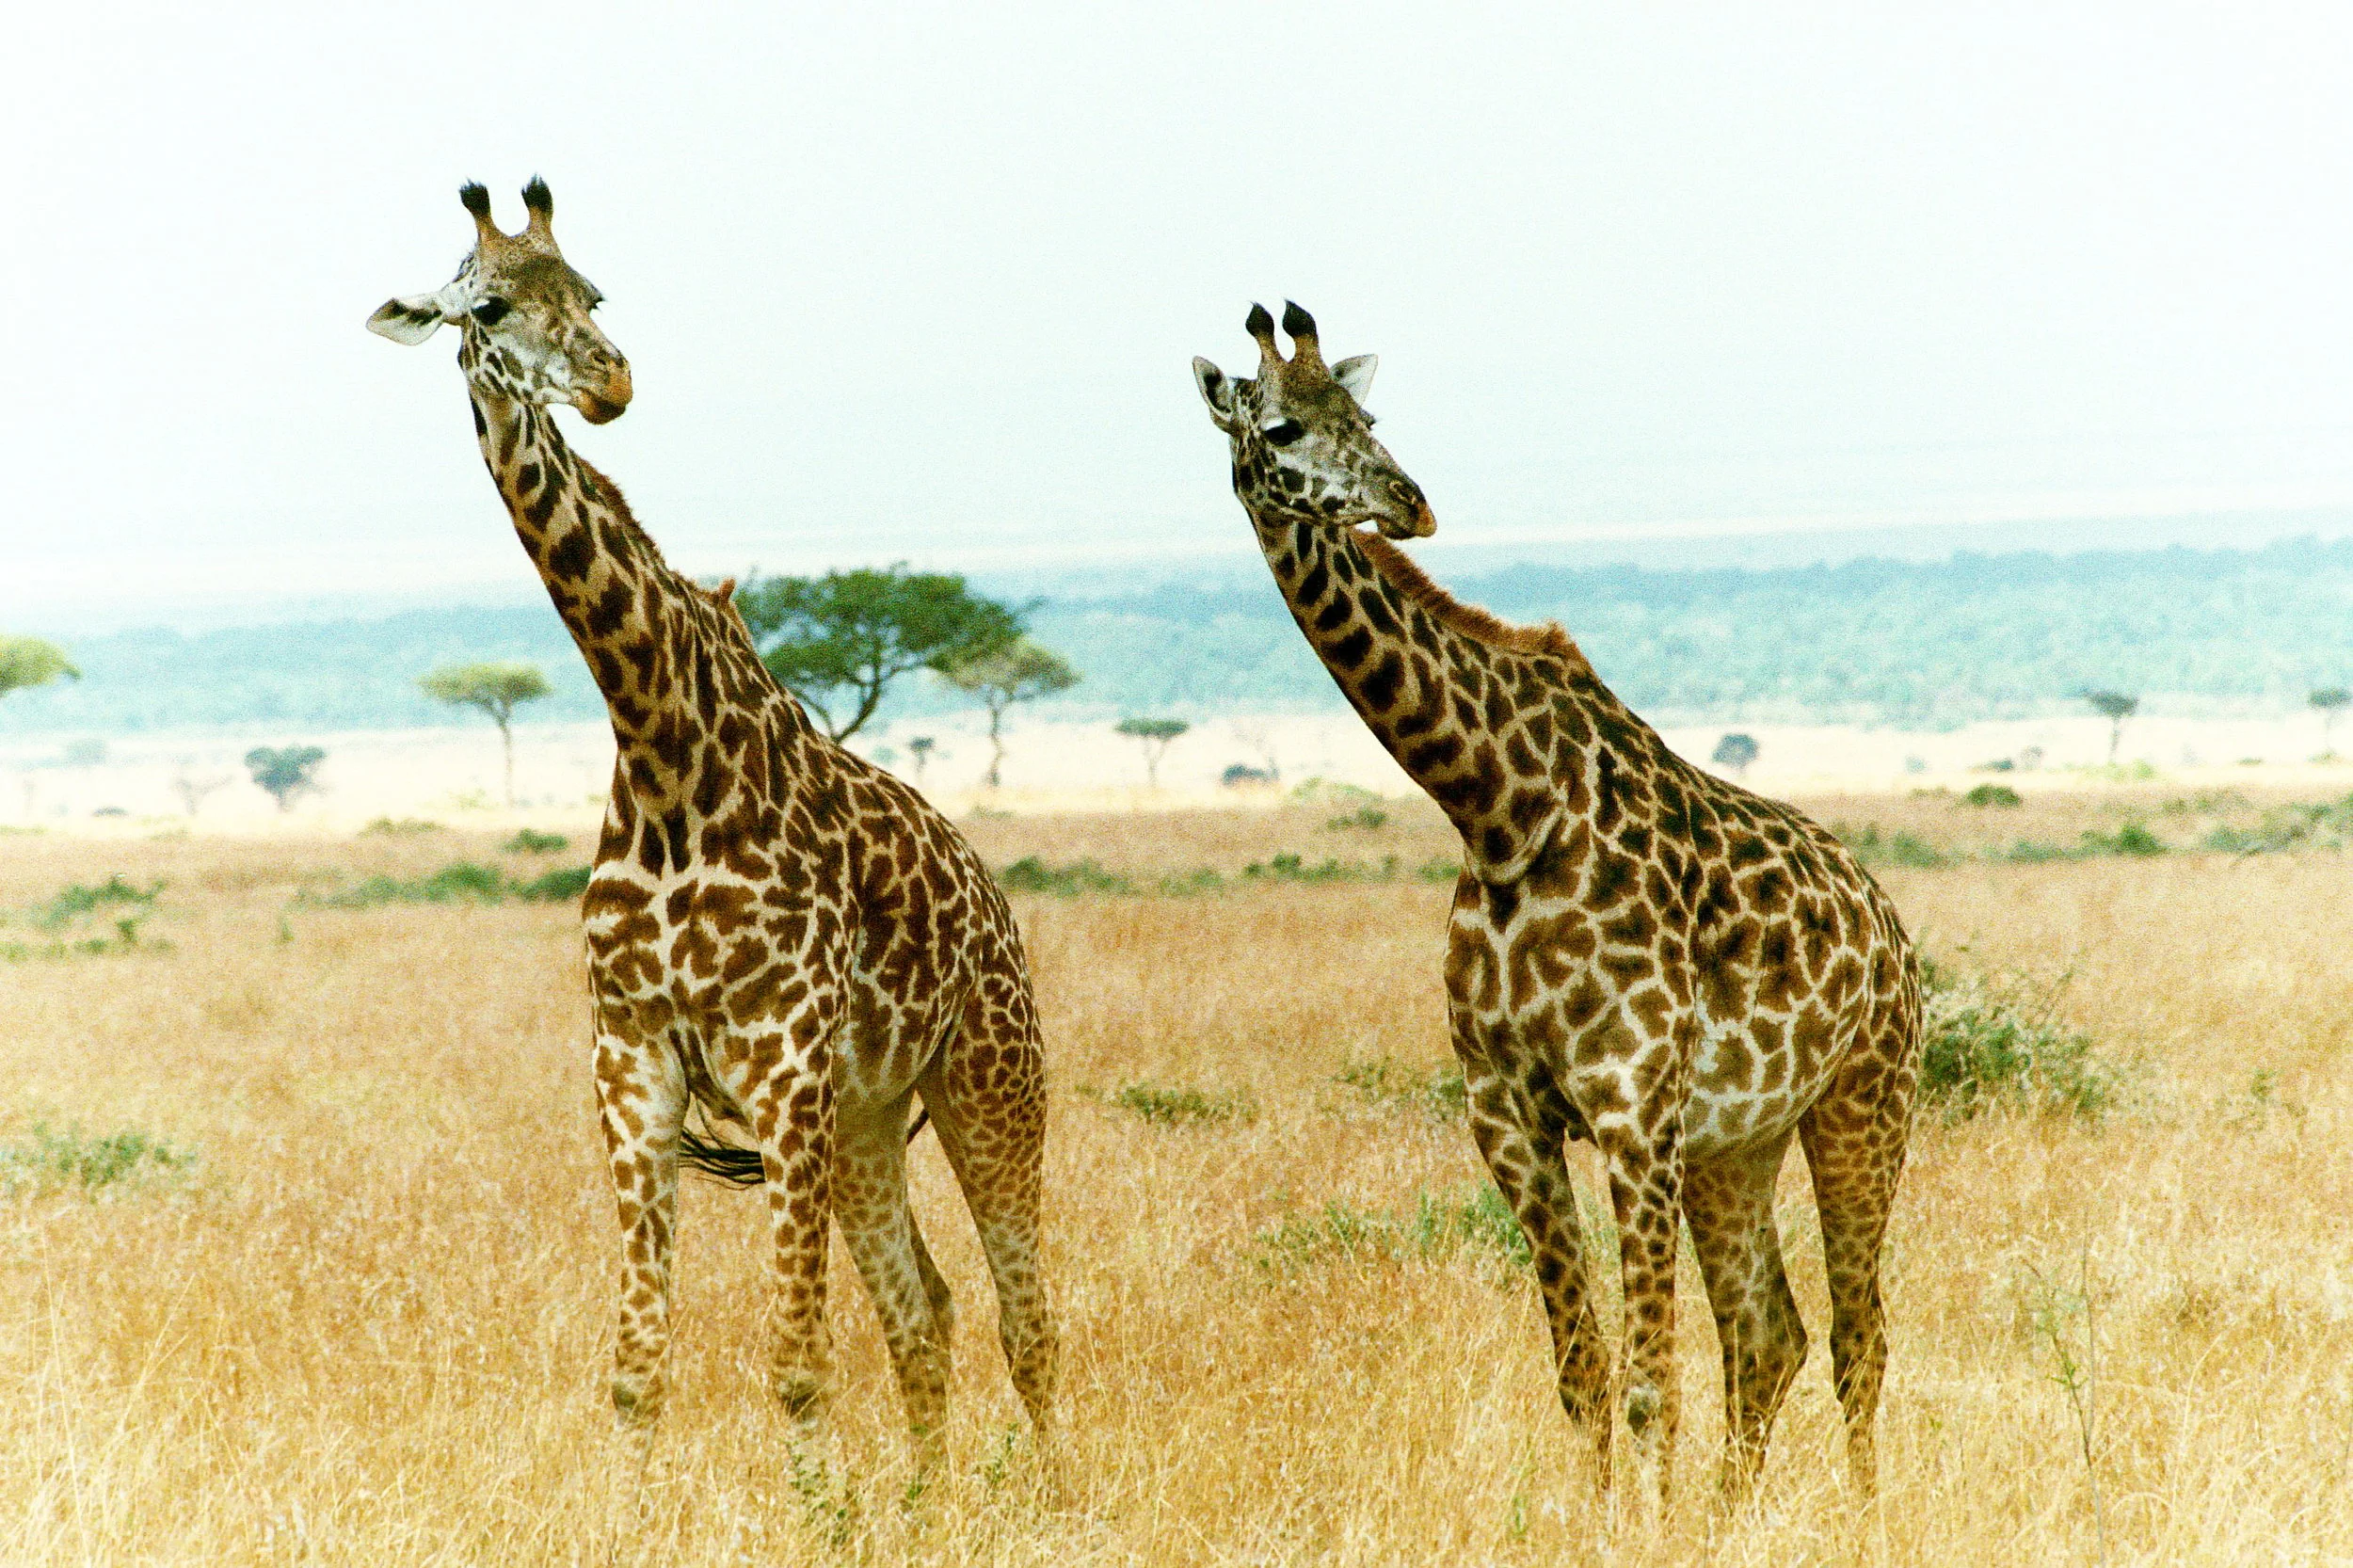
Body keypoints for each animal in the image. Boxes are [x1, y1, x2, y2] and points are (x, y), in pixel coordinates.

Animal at [367, 181, 1057, 1469]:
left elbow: (796, 1363)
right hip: (869, 1116)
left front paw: (820, 1506)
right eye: (487, 307)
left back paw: (1053, 1494)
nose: (609, 380)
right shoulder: (633, 1067)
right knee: (927, 1310)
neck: (661, 746)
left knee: (1025, 1315)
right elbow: (638, 1372)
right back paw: (927, 1499)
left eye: (591, 291)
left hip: (989, 1080)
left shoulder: (782, 1064)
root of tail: (994, 901)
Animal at [1192, 304, 1920, 1506]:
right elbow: (1583, 1378)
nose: (1409, 500)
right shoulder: (1509, 1114)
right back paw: (1729, 1522)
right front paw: (1608, 1524)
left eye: (1368, 418)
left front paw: (1647, 1527)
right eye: (1284, 424)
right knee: (1768, 1333)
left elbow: (1648, 1386)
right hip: (1737, 1142)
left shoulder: (1631, 1110)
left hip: (1863, 1101)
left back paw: (1863, 1523)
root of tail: (1889, 924)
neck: (1498, 811)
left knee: (1856, 1339)